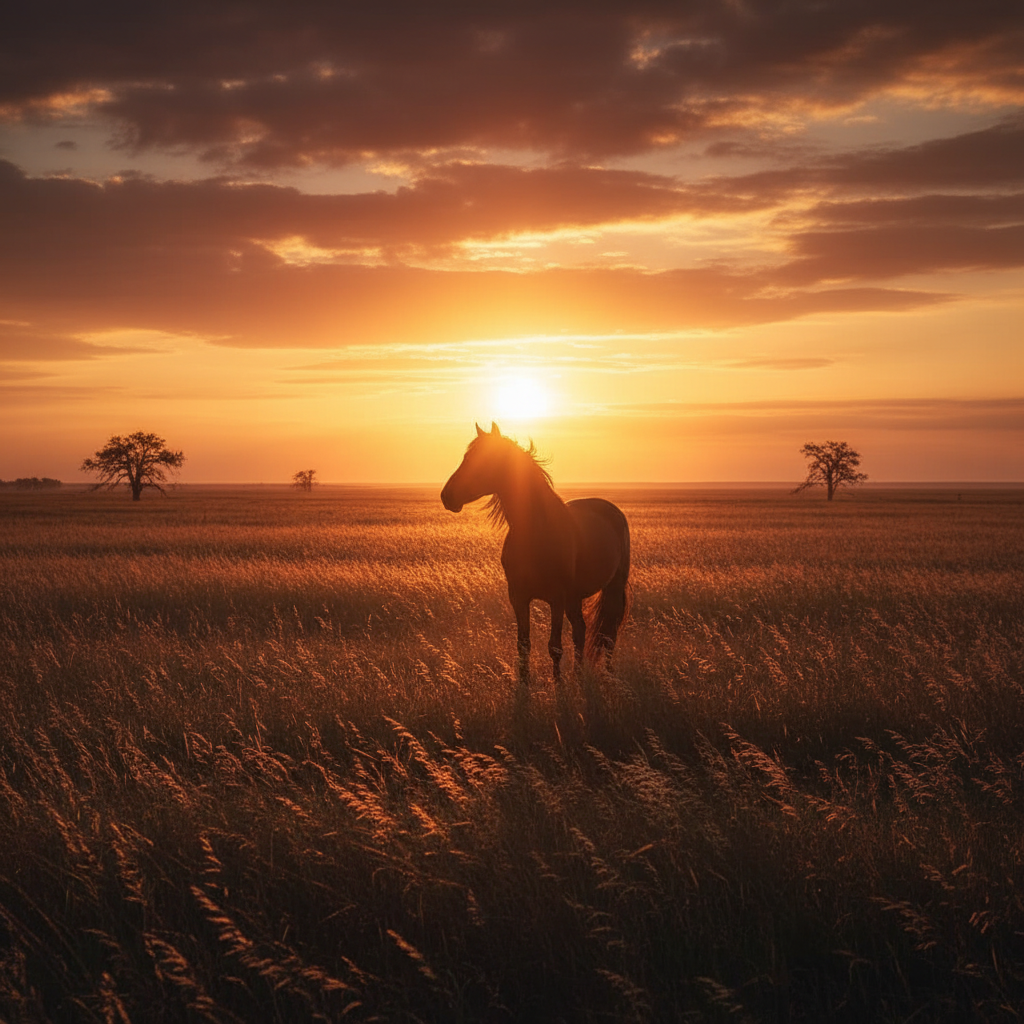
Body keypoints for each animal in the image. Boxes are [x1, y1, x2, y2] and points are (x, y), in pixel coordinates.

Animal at [441, 422, 630, 681]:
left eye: (482, 459)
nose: (446, 496)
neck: (535, 532)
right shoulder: (518, 597)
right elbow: (523, 643)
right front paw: (524, 682)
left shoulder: (556, 599)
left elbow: (555, 646)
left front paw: (558, 684)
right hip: (574, 598)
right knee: (581, 630)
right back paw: (578, 673)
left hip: (611, 588)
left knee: (609, 632)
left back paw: (608, 675)